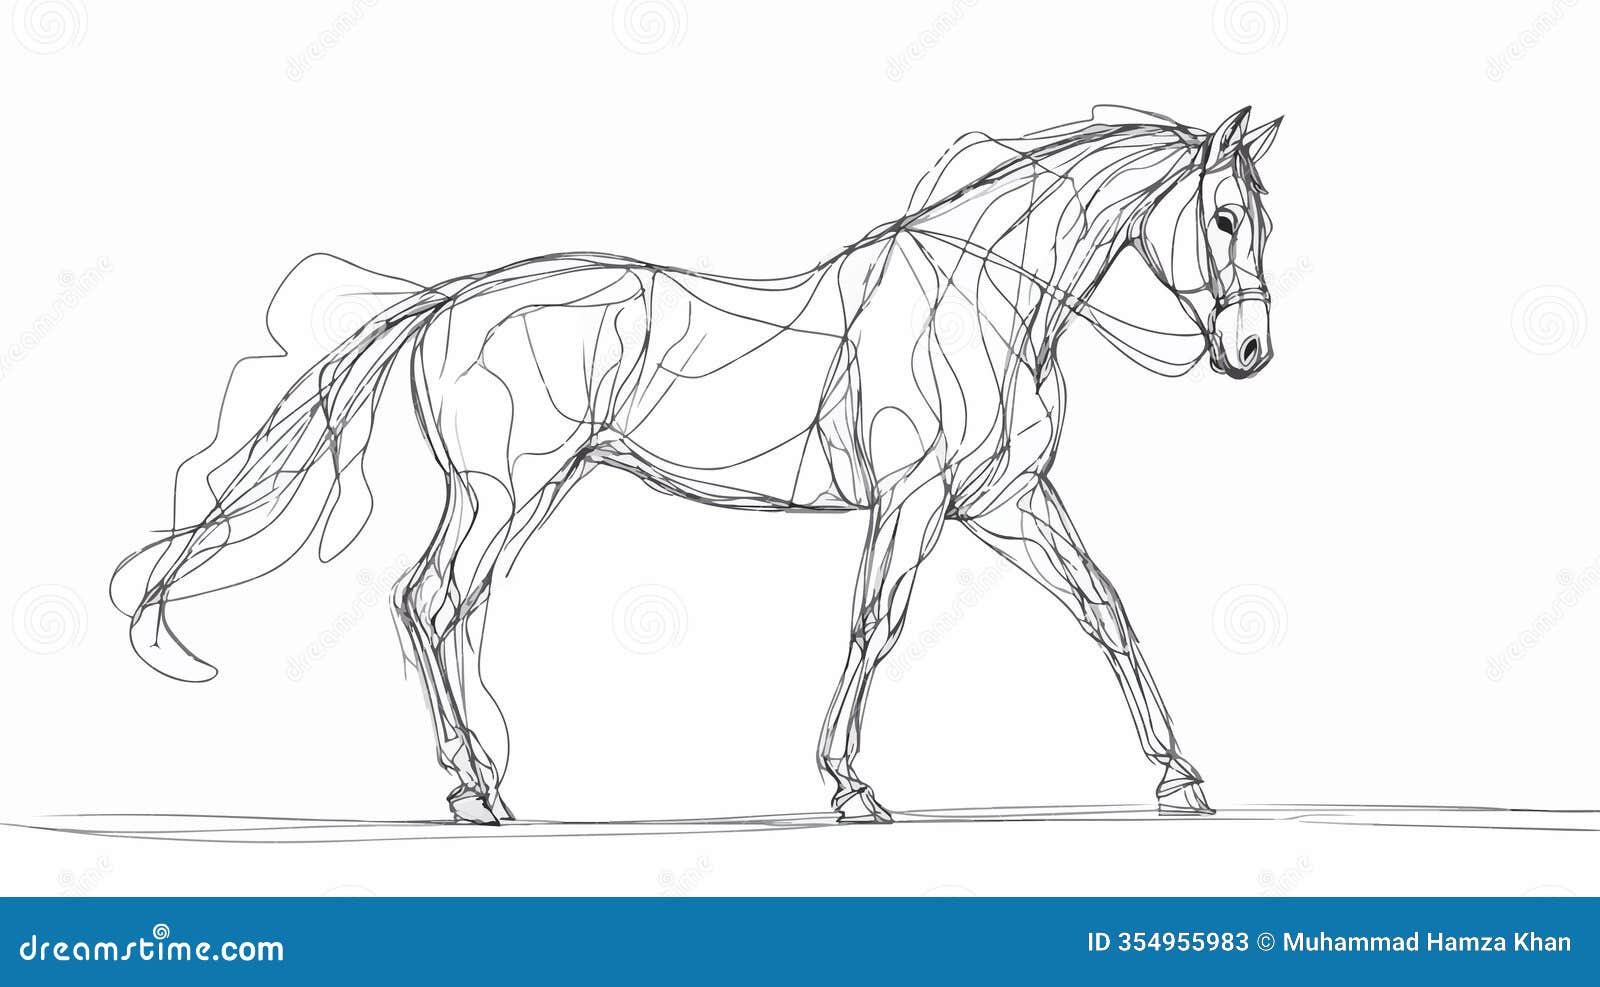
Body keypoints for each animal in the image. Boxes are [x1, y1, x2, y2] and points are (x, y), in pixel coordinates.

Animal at [112, 105, 1282, 824]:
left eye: (1263, 220)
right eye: (1224, 216)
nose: (1249, 352)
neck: (982, 305)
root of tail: (449, 302)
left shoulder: (1008, 501)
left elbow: (1105, 610)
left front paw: (1180, 778)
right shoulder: (912, 503)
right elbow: (876, 624)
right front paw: (849, 786)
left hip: (519, 498)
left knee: (443, 605)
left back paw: (482, 780)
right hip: (506, 491)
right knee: (432, 600)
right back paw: (476, 789)